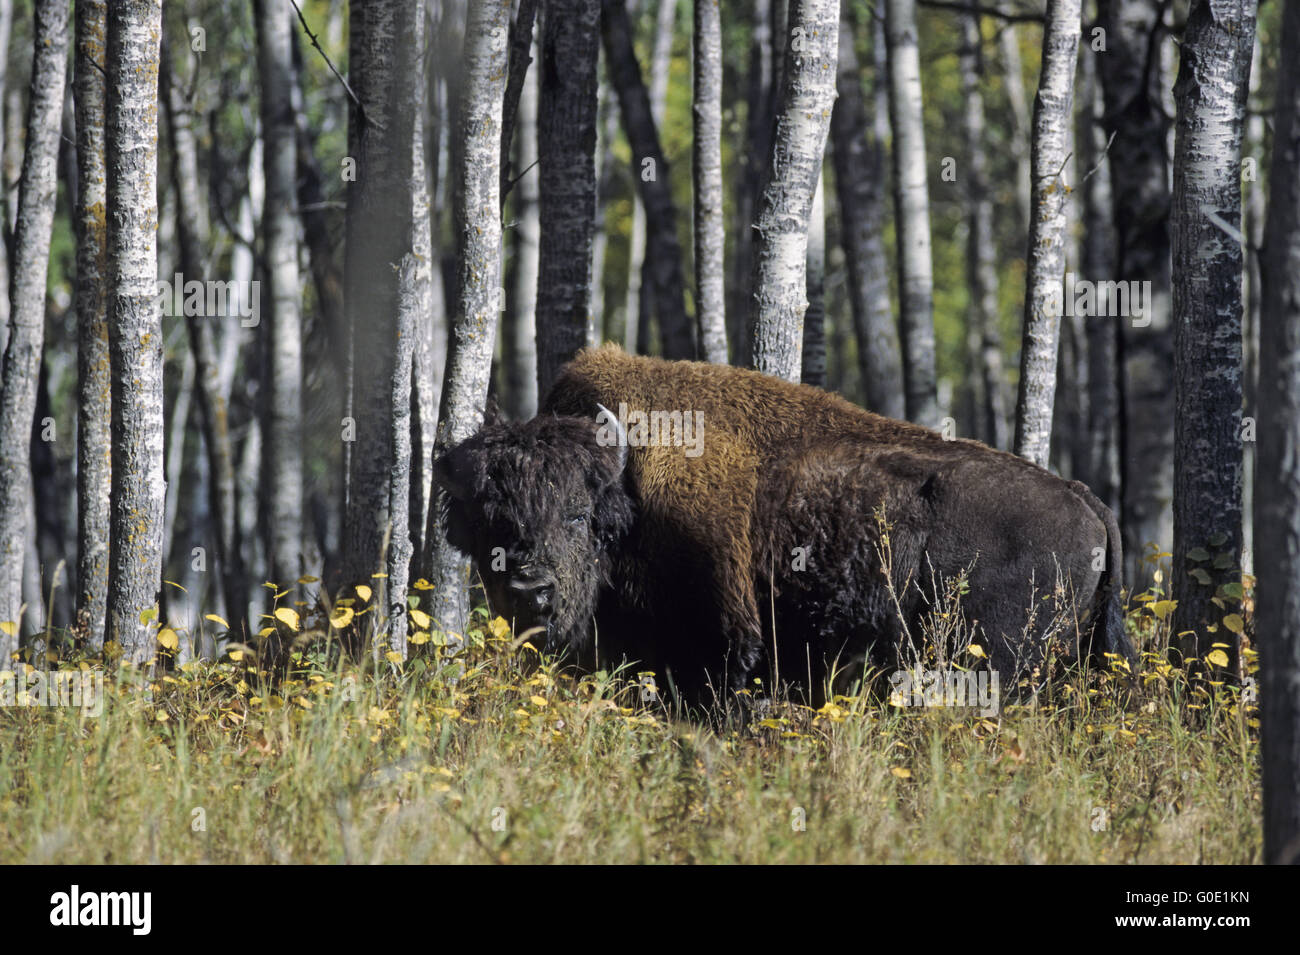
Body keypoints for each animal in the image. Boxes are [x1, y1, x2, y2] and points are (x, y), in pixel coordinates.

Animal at [434, 345, 1134, 707]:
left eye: (580, 515)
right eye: (490, 523)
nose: (530, 590)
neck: (627, 493)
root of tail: (1085, 500)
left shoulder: (716, 653)